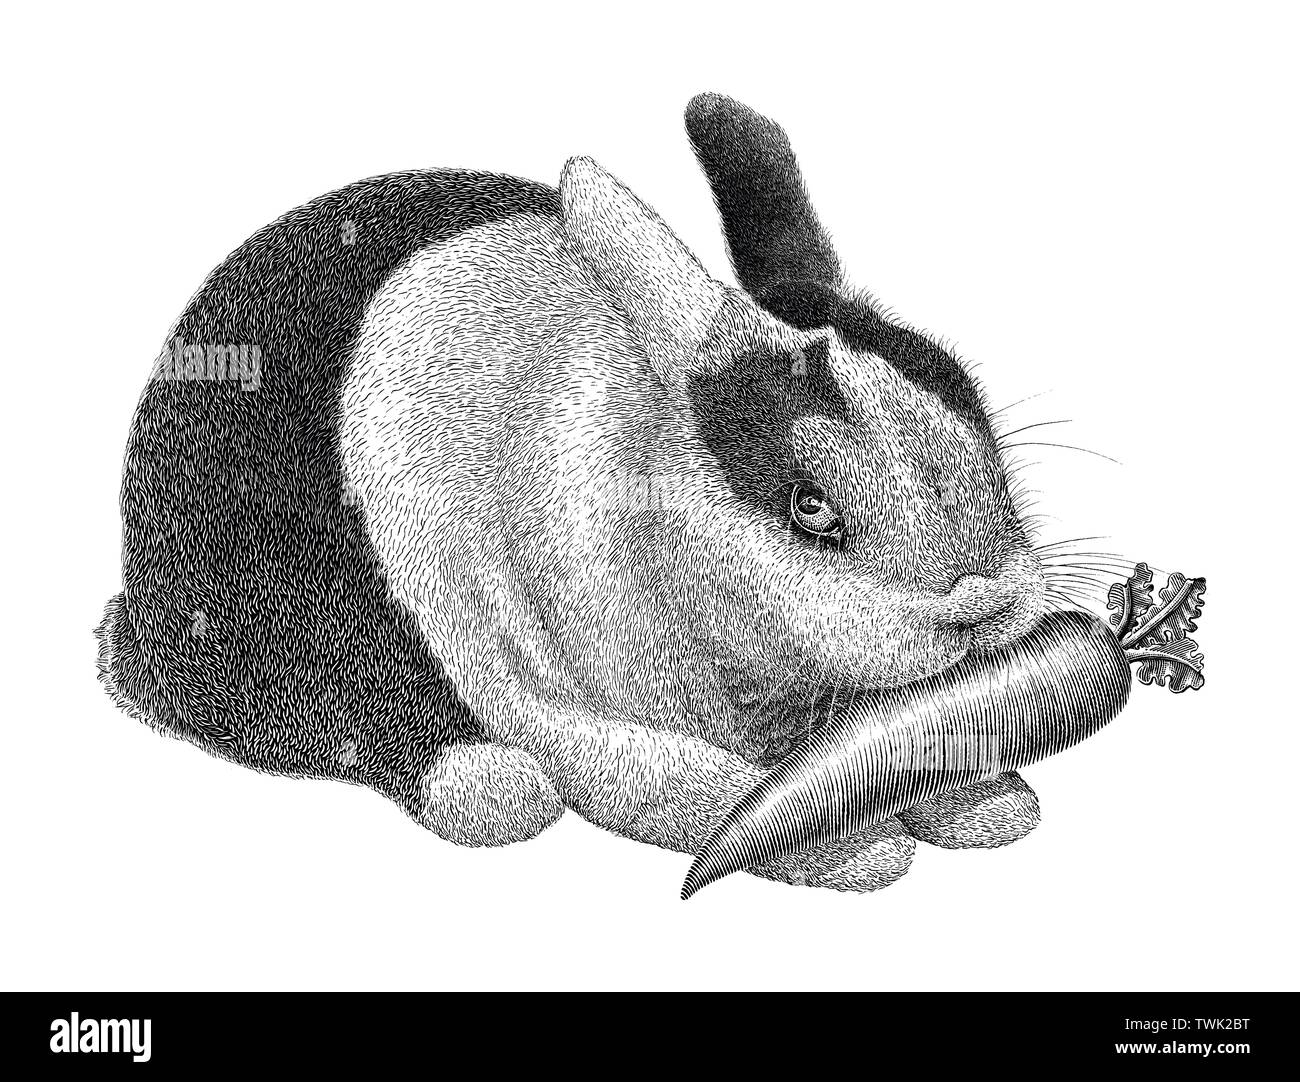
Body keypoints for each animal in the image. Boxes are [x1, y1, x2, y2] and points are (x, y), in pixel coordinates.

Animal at [97, 92, 1050, 893]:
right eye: (810, 508)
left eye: (978, 417)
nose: (983, 600)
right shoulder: (530, 686)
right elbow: (682, 783)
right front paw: (855, 850)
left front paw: (985, 801)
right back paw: (478, 777)